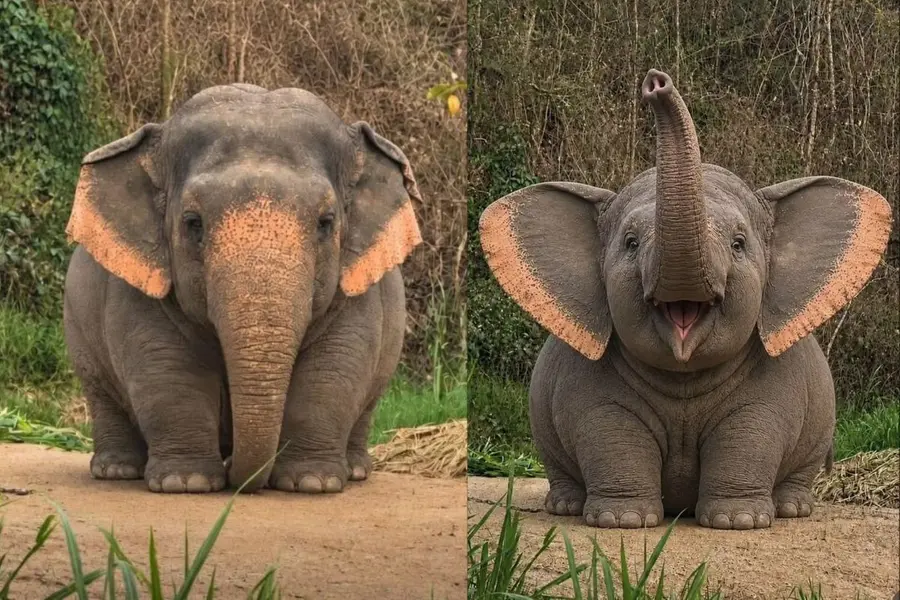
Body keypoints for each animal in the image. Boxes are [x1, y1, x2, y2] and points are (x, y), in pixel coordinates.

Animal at [62, 83, 423, 494]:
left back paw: (357, 470)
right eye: (193, 222)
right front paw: (185, 483)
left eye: (326, 222)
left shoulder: (355, 286)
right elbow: (167, 367)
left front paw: (312, 483)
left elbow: (334, 366)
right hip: (78, 328)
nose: (240, 475)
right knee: (100, 391)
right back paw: (117, 470)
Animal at [478, 69, 892, 529]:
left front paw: (739, 521)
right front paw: (622, 521)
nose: (656, 83)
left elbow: (752, 428)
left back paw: (792, 508)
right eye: (630, 243)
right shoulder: (589, 390)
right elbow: (607, 427)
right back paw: (566, 506)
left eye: (738, 243)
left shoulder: (772, 390)